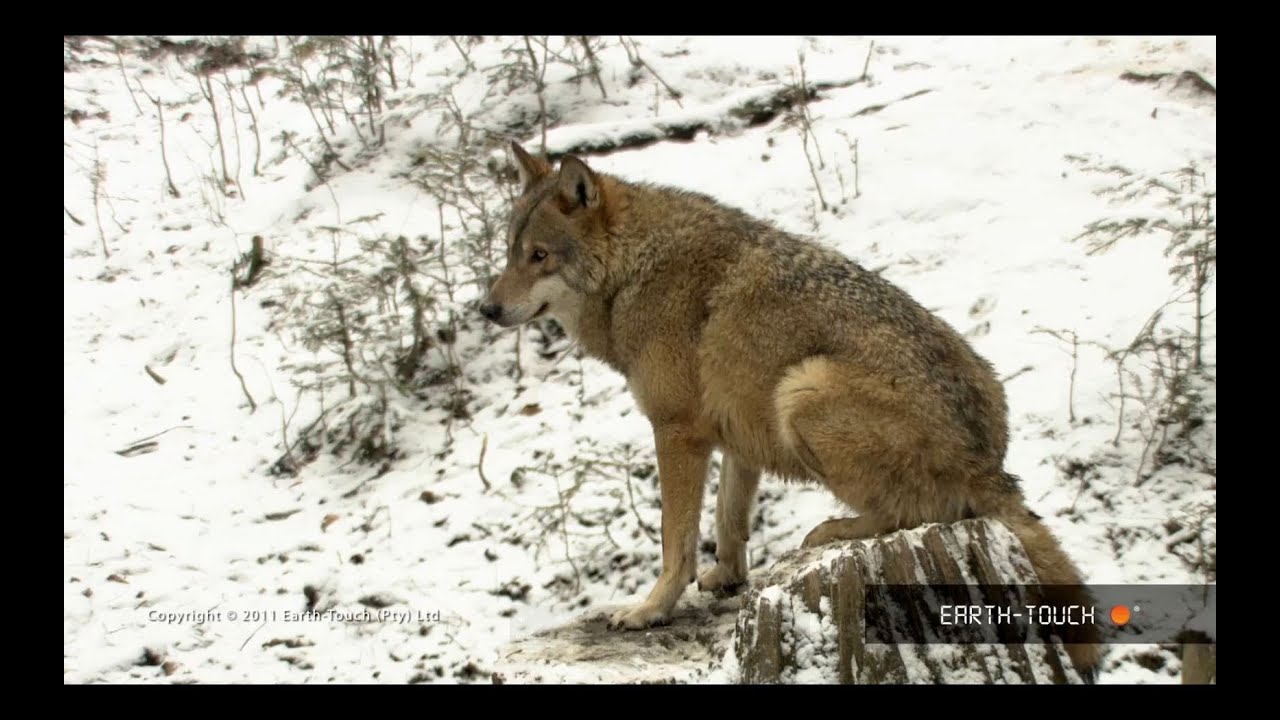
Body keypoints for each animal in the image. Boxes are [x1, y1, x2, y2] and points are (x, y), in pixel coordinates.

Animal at [481, 142, 1102, 677]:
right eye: (511, 253)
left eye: (540, 257)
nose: (486, 309)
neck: (635, 271)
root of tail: (990, 461)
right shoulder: (735, 434)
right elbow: (728, 520)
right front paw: (728, 578)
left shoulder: (677, 432)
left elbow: (675, 539)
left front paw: (649, 609)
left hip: (801, 392)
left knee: (924, 511)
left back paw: (831, 530)